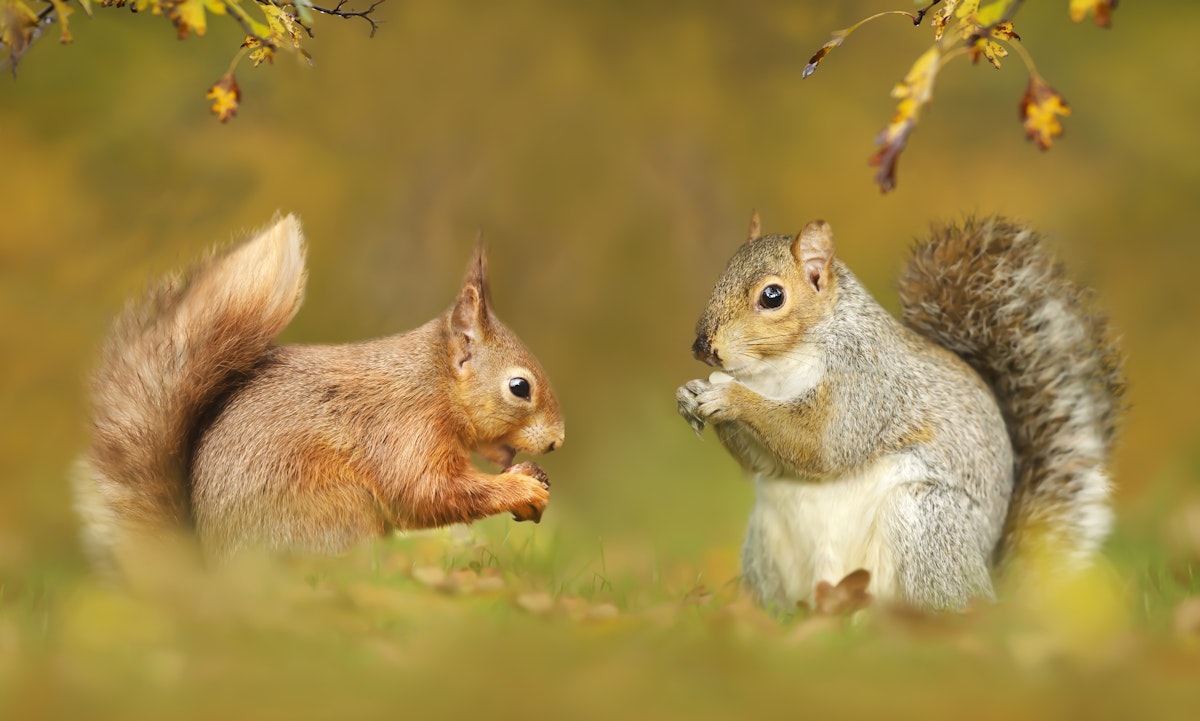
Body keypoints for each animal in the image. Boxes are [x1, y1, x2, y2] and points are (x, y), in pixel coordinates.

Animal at [73, 214, 564, 574]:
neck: (433, 384)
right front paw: (521, 488)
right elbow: (428, 492)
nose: (558, 440)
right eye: (519, 388)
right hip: (336, 512)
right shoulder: (403, 429)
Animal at [676, 213, 1124, 611]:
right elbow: (764, 464)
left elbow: (823, 444)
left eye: (773, 296)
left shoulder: (869, 383)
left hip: (924, 522)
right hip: (765, 541)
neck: (775, 371)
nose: (702, 347)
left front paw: (730, 397)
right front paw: (690, 394)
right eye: (722, 274)